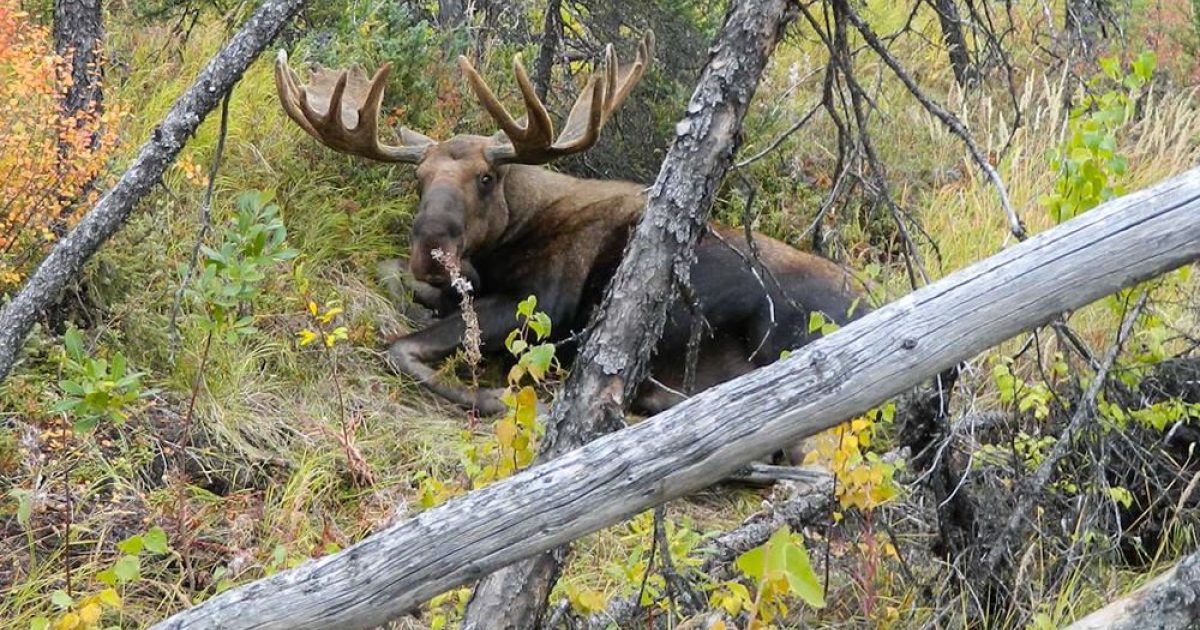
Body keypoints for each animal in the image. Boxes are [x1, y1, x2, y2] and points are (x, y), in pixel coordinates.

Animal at [274, 33, 867, 461]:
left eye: (487, 177)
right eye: (419, 178)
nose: (432, 252)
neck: (505, 242)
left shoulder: (538, 308)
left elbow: (400, 349)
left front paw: (498, 398)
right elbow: (388, 272)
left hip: (786, 351)